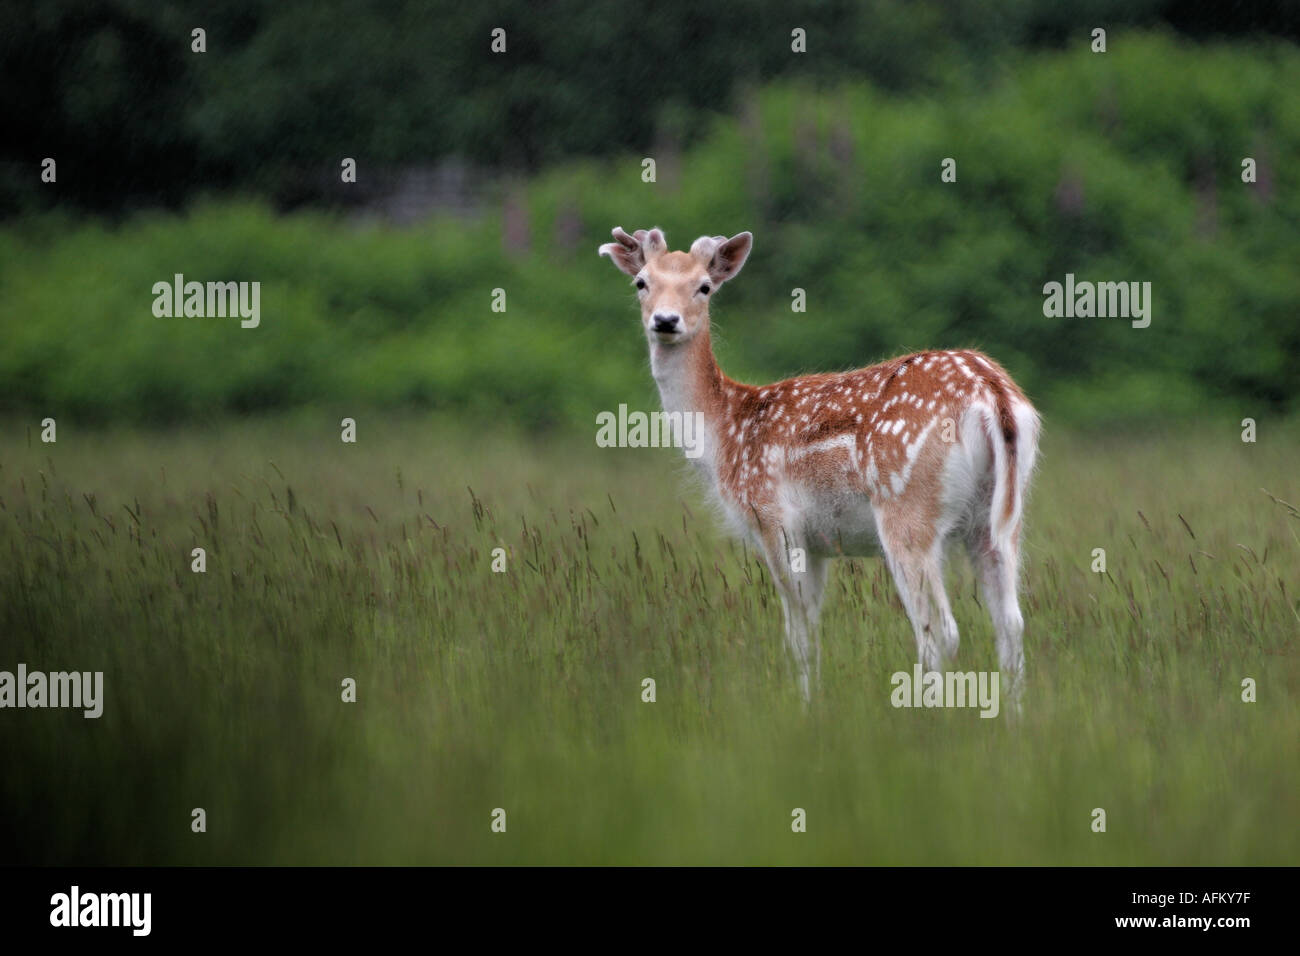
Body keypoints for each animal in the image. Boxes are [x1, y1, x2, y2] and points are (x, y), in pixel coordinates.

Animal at [598, 226, 1041, 707]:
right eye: (641, 282)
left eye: (704, 286)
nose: (665, 321)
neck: (726, 434)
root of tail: (992, 394)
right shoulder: (818, 542)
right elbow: (812, 630)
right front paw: (815, 704)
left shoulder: (773, 518)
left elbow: (797, 635)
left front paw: (805, 709)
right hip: (997, 518)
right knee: (1011, 623)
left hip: (907, 506)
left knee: (939, 630)